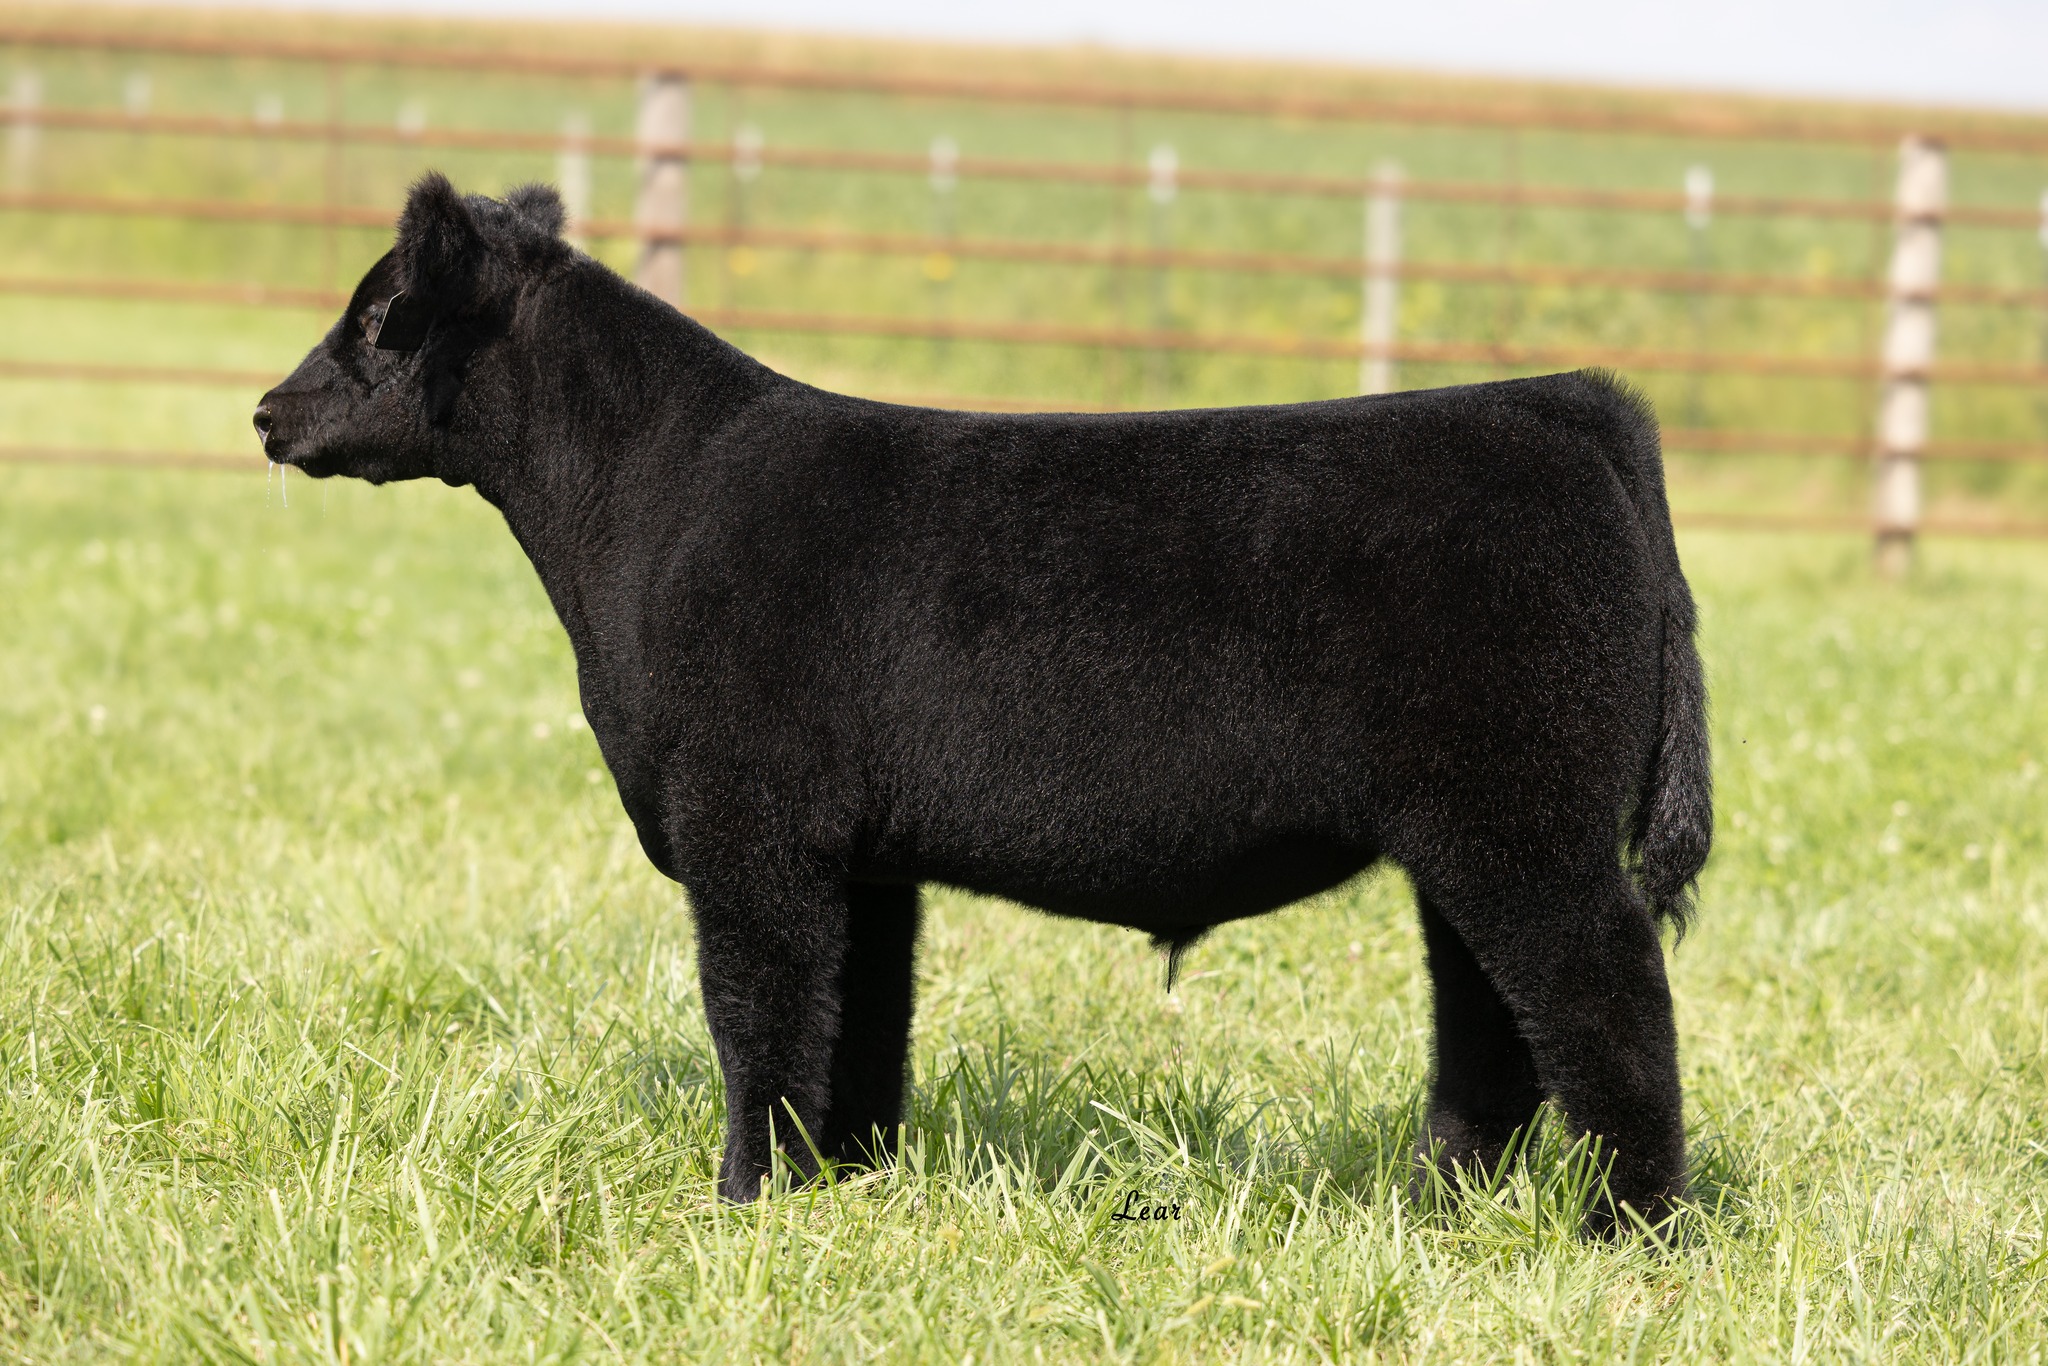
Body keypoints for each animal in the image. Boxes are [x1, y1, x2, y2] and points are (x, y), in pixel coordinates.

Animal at [255, 175, 1711, 1233]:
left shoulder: (748, 831)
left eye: (380, 316)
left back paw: (1626, 1229)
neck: (649, 507)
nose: (269, 410)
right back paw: (1440, 1209)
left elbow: (760, 1018)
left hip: (1527, 831)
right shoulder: (859, 856)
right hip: (1469, 839)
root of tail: (1570, 404)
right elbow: (856, 1031)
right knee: (1491, 1028)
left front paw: (741, 1203)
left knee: (1607, 1001)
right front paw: (841, 1189)